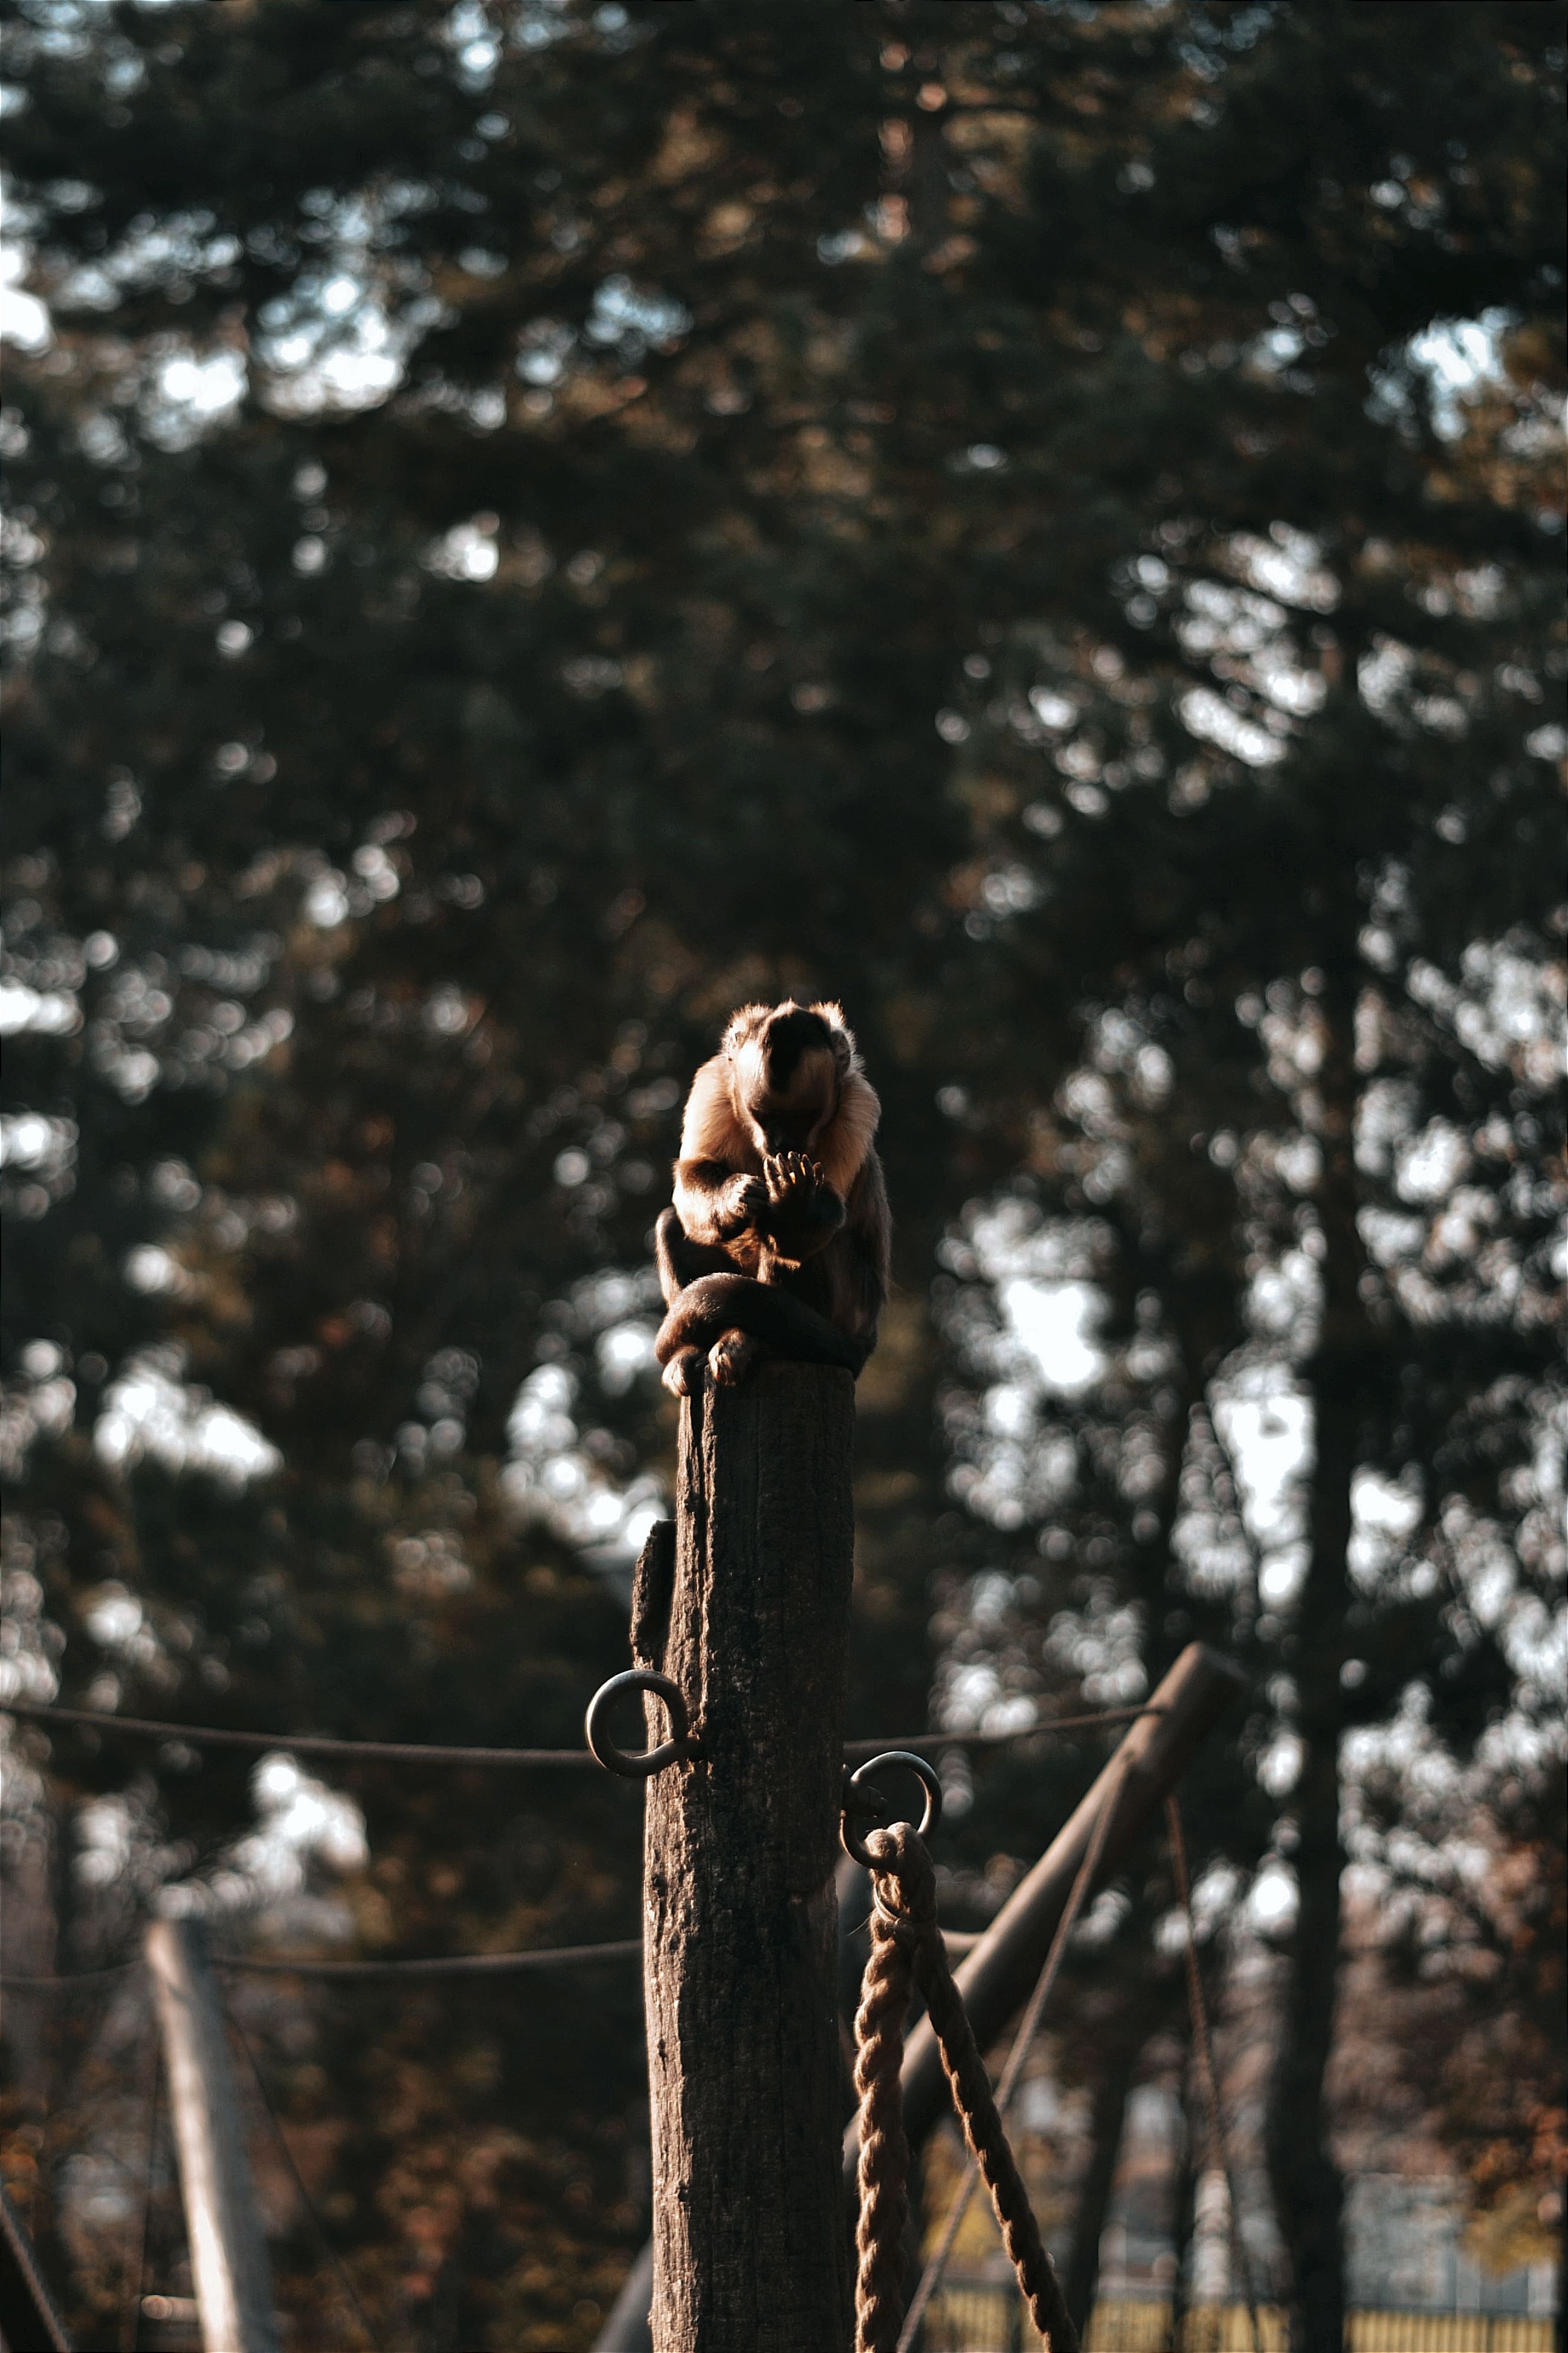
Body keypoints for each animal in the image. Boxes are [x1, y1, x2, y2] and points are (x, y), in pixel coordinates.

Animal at [653, 1000, 891, 1396]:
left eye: (804, 1118)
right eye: (764, 1116)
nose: (781, 1144)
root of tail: (867, 1340)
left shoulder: (858, 1105)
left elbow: (814, 1221)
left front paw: (794, 1206)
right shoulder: (713, 1082)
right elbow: (691, 1174)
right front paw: (733, 1197)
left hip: (852, 1307)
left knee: (803, 1246)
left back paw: (753, 1341)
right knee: (673, 1224)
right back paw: (689, 1351)